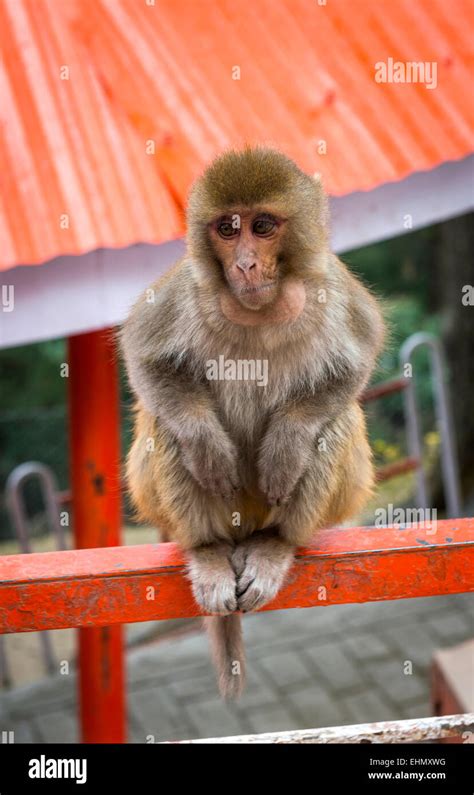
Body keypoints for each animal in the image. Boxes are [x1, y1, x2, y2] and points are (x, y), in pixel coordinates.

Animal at [120, 147, 385, 700]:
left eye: (262, 226)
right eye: (227, 228)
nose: (244, 262)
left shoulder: (331, 285)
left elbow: (357, 360)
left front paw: (288, 440)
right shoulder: (186, 288)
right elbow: (144, 358)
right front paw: (207, 445)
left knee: (335, 421)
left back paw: (276, 544)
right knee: (168, 426)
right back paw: (208, 550)